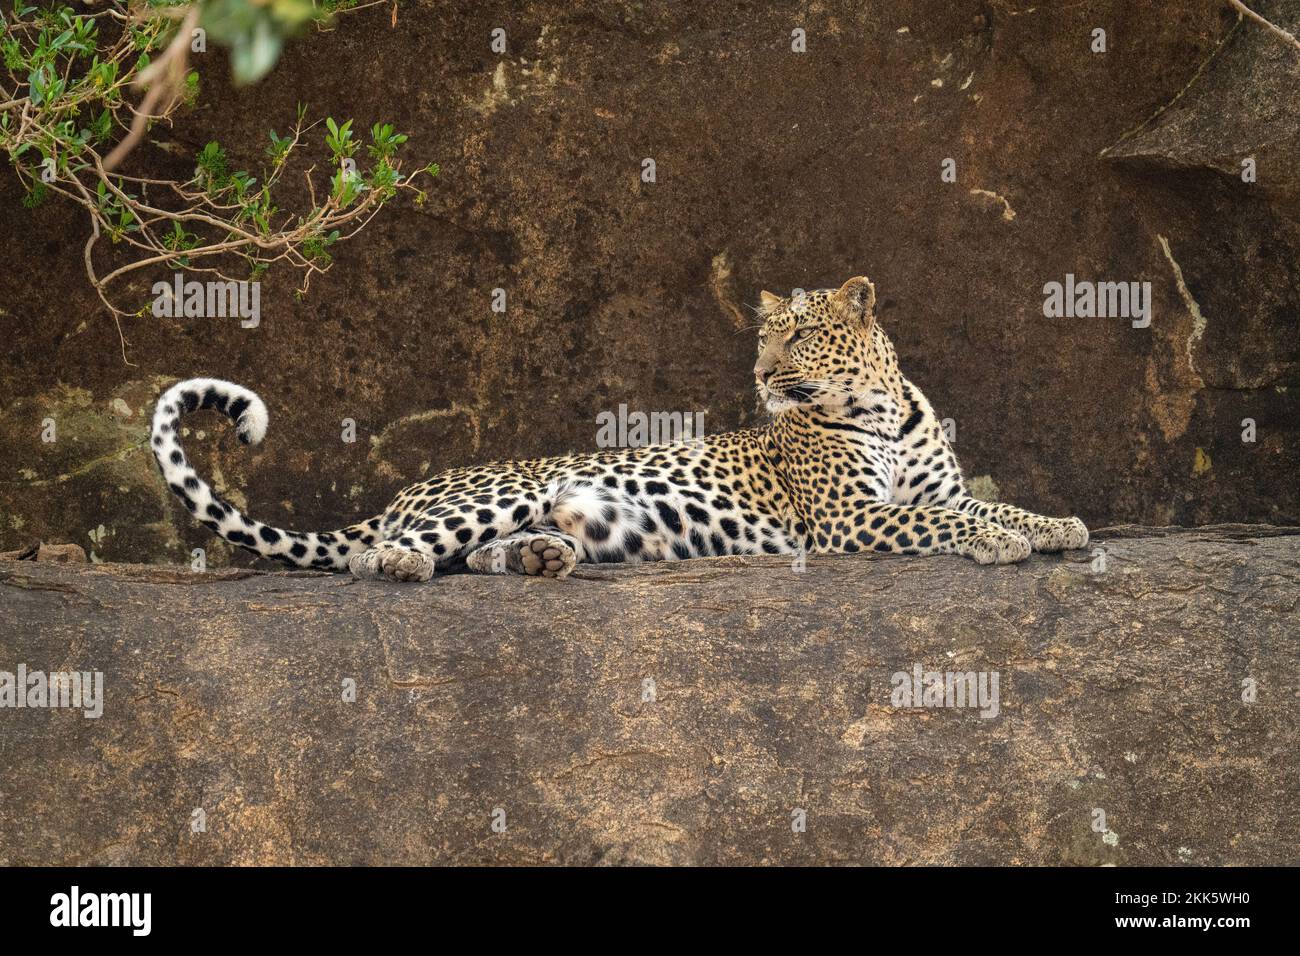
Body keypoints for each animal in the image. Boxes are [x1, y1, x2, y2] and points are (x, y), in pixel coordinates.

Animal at [150, 275, 1089, 583]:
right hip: (501, 491)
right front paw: (1008, 541)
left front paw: (1055, 525)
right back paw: (403, 562)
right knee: (374, 554)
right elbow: (944, 521)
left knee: (484, 557)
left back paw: (542, 557)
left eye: (798, 337)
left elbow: (981, 503)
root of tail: (406, 490)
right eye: (765, 337)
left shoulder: (924, 489)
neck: (883, 409)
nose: (758, 375)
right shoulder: (845, 519)